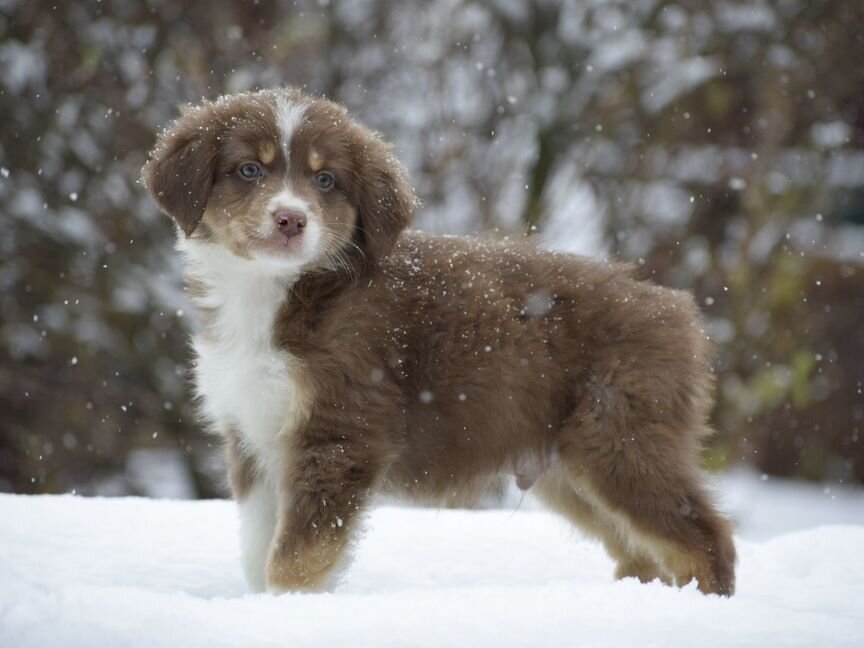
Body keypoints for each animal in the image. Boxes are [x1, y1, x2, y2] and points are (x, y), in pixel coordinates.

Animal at [142, 87, 736, 596]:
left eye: (326, 180)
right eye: (248, 170)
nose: (291, 219)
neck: (274, 292)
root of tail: (677, 310)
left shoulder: (341, 432)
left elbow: (297, 555)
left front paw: (290, 606)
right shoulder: (250, 433)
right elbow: (257, 545)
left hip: (619, 439)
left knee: (703, 538)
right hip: (568, 468)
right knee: (640, 552)